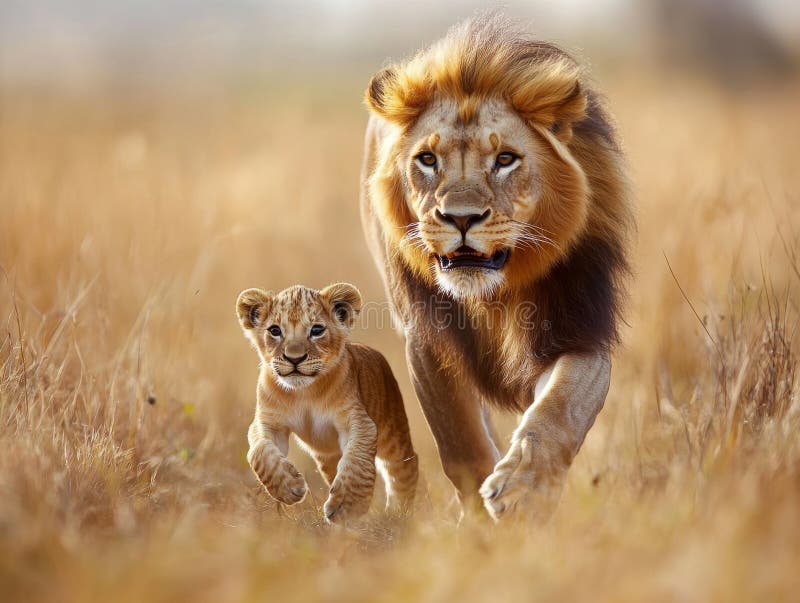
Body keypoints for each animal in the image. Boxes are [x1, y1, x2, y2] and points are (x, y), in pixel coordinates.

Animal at [236, 283, 418, 523]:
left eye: (316, 330)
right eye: (275, 330)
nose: (294, 358)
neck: (304, 393)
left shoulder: (358, 421)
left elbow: (357, 460)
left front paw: (347, 506)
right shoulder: (268, 422)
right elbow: (259, 452)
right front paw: (289, 487)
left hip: (393, 432)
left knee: (403, 467)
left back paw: (399, 513)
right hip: (326, 457)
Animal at [360, 16, 633, 521]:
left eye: (505, 159)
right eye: (427, 159)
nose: (461, 218)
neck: (494, 293)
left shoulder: (577, 329)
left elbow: (558, 411)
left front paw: (524, 491)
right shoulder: (426, 338)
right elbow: (460, 442)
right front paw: (479, 523)